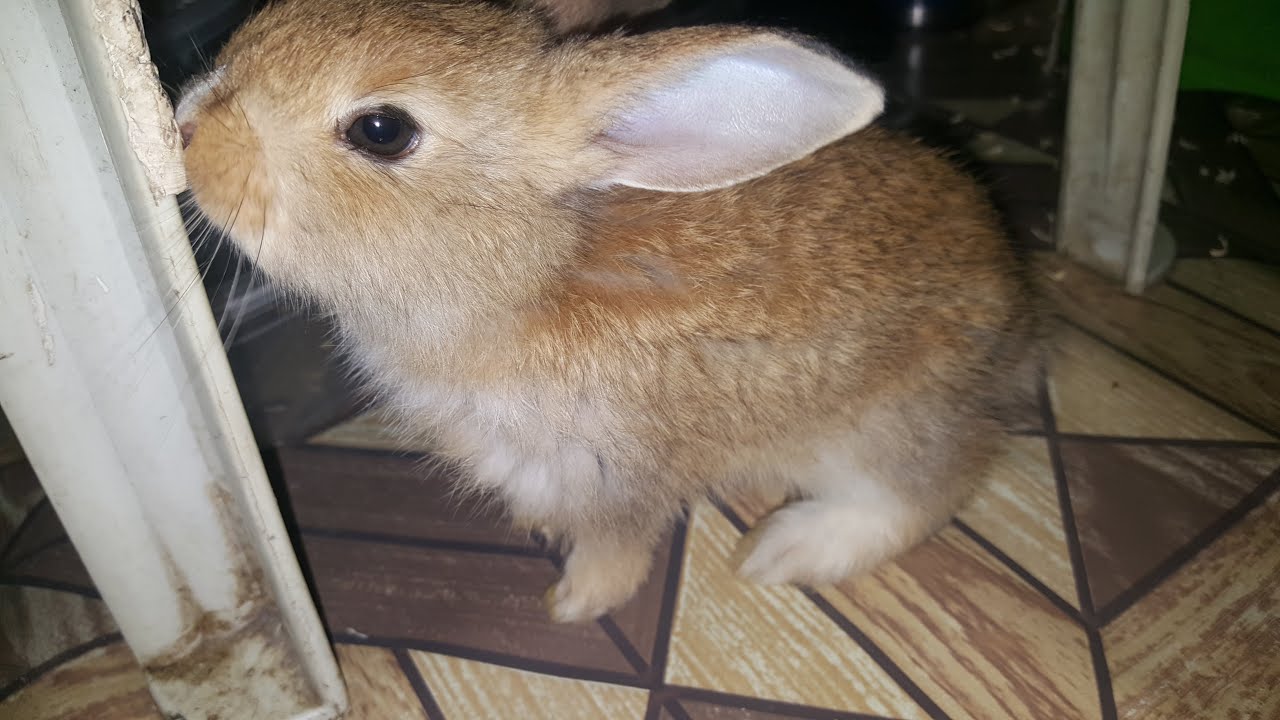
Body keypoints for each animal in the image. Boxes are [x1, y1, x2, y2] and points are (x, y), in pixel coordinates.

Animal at [177, 0, 1038, 623]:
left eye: (382, 130)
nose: (186, 126)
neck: (532, 276)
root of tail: (1014, 311)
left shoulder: (612, 478)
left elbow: (615, 552)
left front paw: (573, 604)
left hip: (878, 431)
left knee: (930, 492)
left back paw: (786, 550)